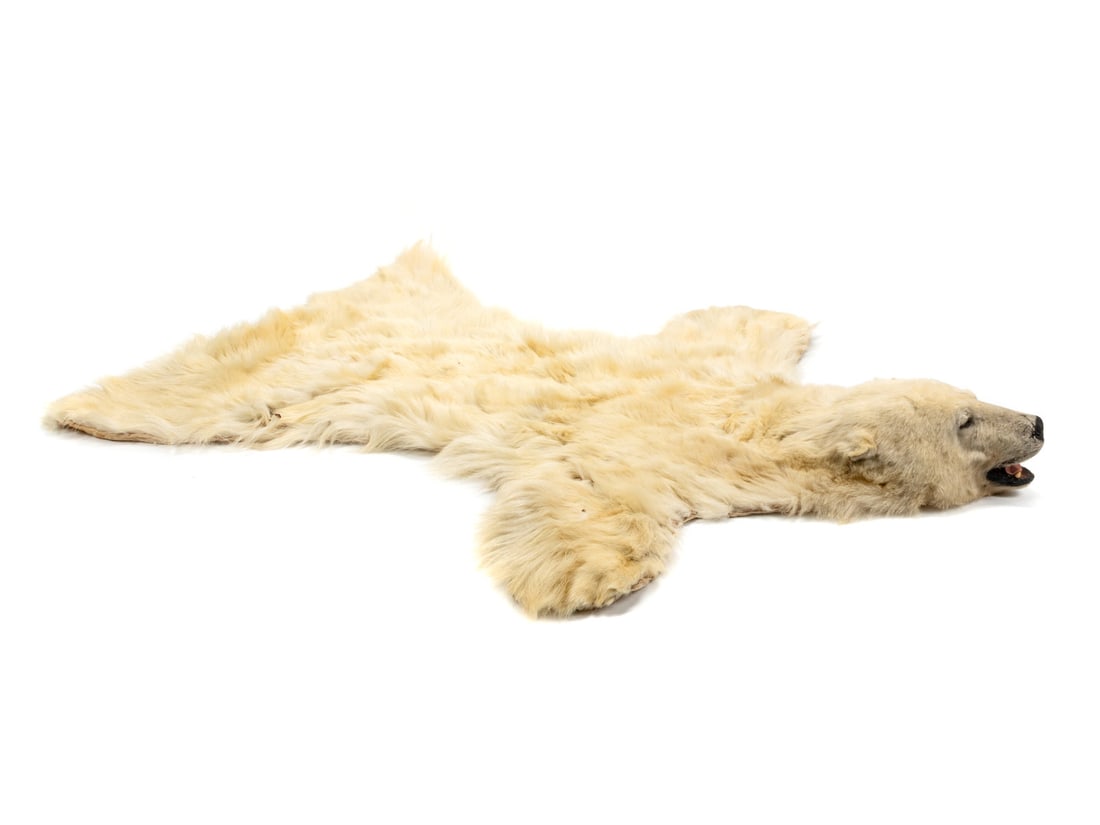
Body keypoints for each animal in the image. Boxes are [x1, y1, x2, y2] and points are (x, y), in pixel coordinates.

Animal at [46, 245, 1044, 616]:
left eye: (975, 393)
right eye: (966, 420)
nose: (1038, 420)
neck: (770, 426)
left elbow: (735, 324)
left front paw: (772, 309)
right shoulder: (650, 445)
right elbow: (594, 495)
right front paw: (589, 580)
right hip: (302, 382)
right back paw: (83, 411)